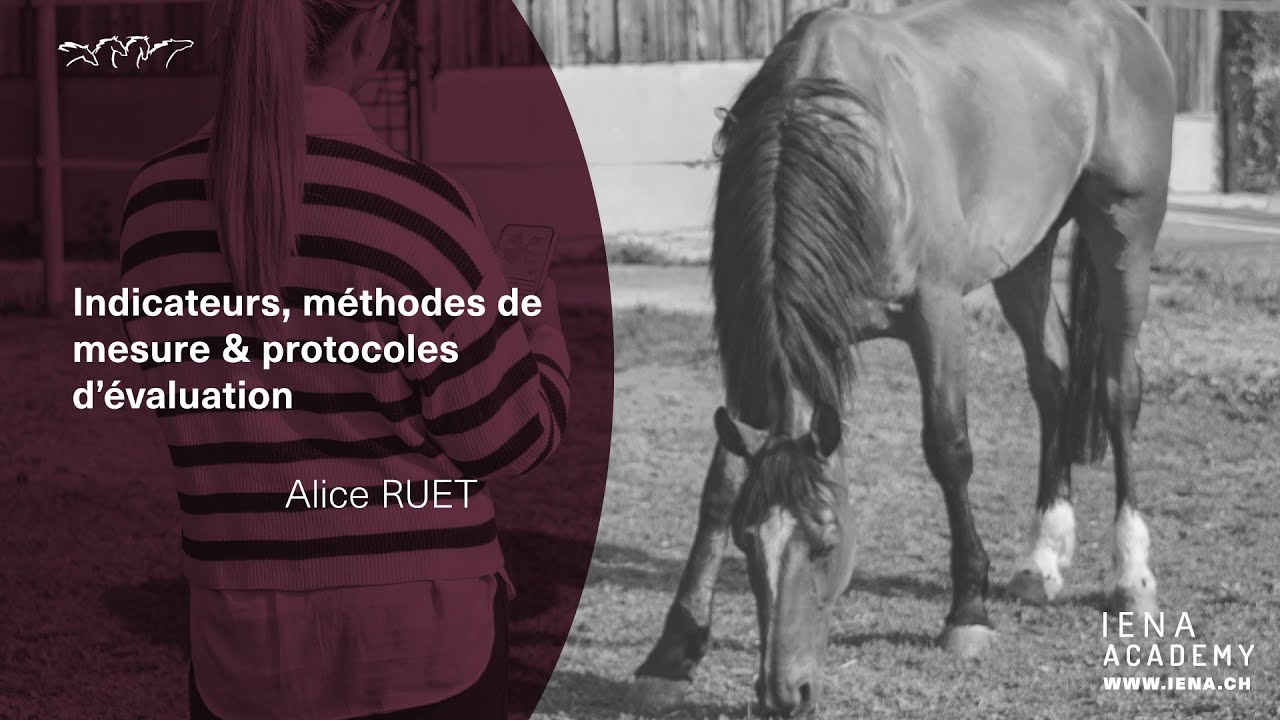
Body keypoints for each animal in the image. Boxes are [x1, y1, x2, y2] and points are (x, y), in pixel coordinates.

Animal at [630, 0, 1174, 715]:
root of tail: (1127, 23)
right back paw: (1042, 560)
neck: (851, 150)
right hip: (1025, 253)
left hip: (1124, 234)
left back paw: (1132, 576)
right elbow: (720, 481)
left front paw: (968, 613)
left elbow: (949, 448)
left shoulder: (935, 314)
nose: (785, 693)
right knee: (1053, 378)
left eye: (827, 543)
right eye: (749, 543)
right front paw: (673, 648)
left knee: (1117, 387)